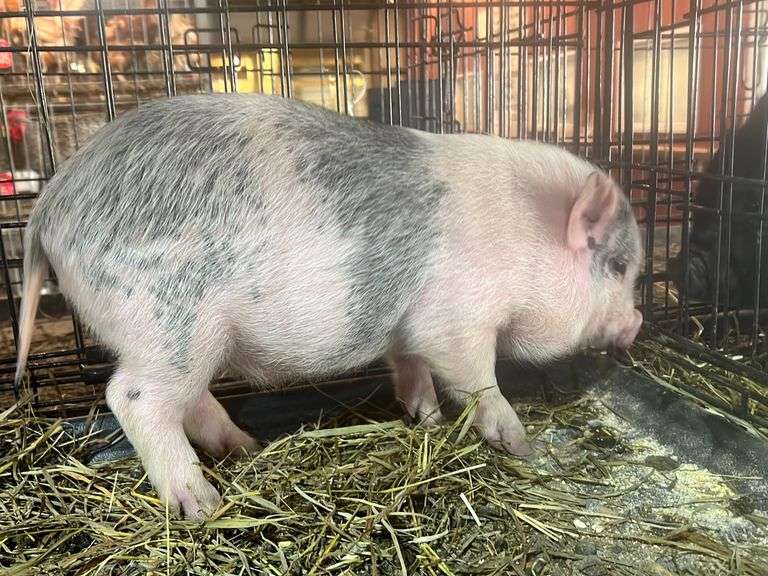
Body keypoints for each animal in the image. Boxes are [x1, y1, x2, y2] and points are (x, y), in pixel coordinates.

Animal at [14, 93, 643, 519]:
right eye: (618, 266)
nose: (637, 322)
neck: (523, 241)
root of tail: (51, 203)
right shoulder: (455, 322)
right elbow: (479, 380)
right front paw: (522, 445)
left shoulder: (405, 331)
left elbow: (411, 368)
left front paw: (426, 419)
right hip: (169, 322)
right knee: (133, 397)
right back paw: (203, 504)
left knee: (187, 401)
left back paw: (245, 447)